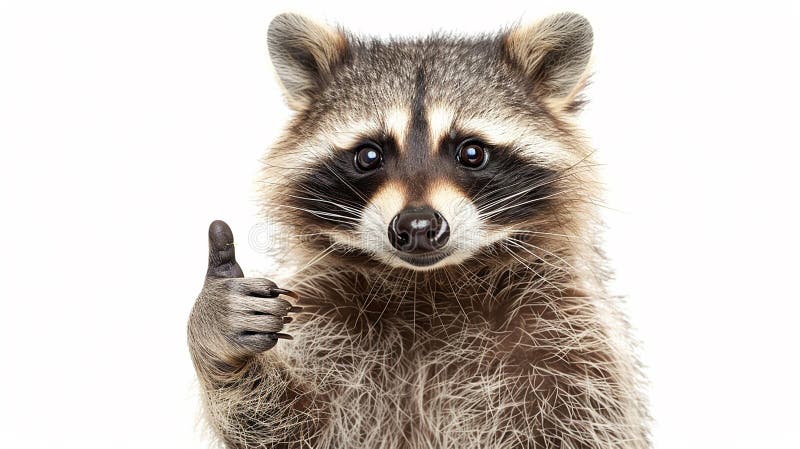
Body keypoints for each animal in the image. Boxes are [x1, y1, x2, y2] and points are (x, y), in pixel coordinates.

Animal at [188, 12, 649, 449]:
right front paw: (219, 343)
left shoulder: (570, 336)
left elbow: (585, 423)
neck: (428, 285)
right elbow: (293, 423)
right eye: (369, 155)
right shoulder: (324, 318)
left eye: (472, 152)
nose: (418, 226)